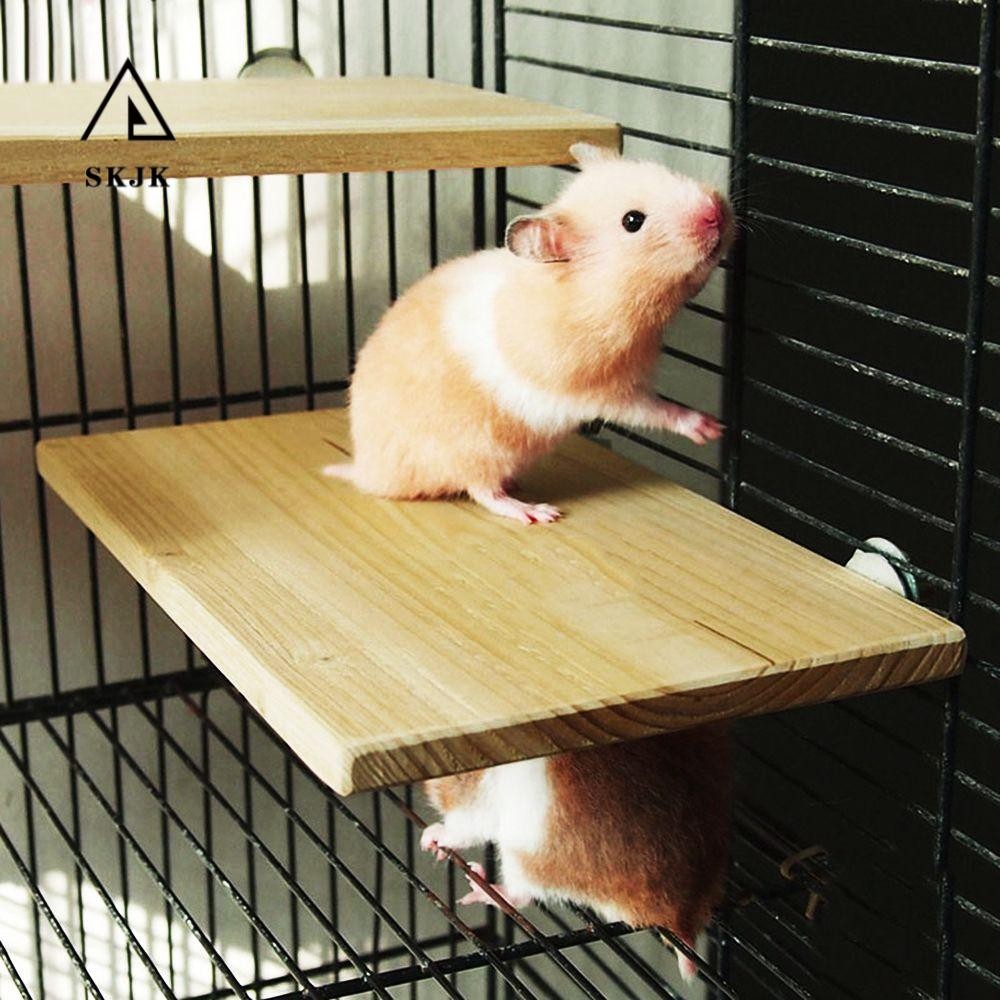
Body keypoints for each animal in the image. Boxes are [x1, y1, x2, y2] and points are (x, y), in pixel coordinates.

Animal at [324, 142, 733, 523]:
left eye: (662, 169)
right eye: (633, 221)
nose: (716, 209)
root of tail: (368, 471)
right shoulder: (604, 389)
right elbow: (654, 410)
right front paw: (712, 429)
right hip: (477, 449)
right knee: (482, 491)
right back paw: (535, 511)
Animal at [421, 725, 732, 982]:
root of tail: (680, 918)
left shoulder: (471, 797)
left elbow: (460, 826)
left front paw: (429, 840)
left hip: (524, 854)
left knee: (518, 895)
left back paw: (476, 885)